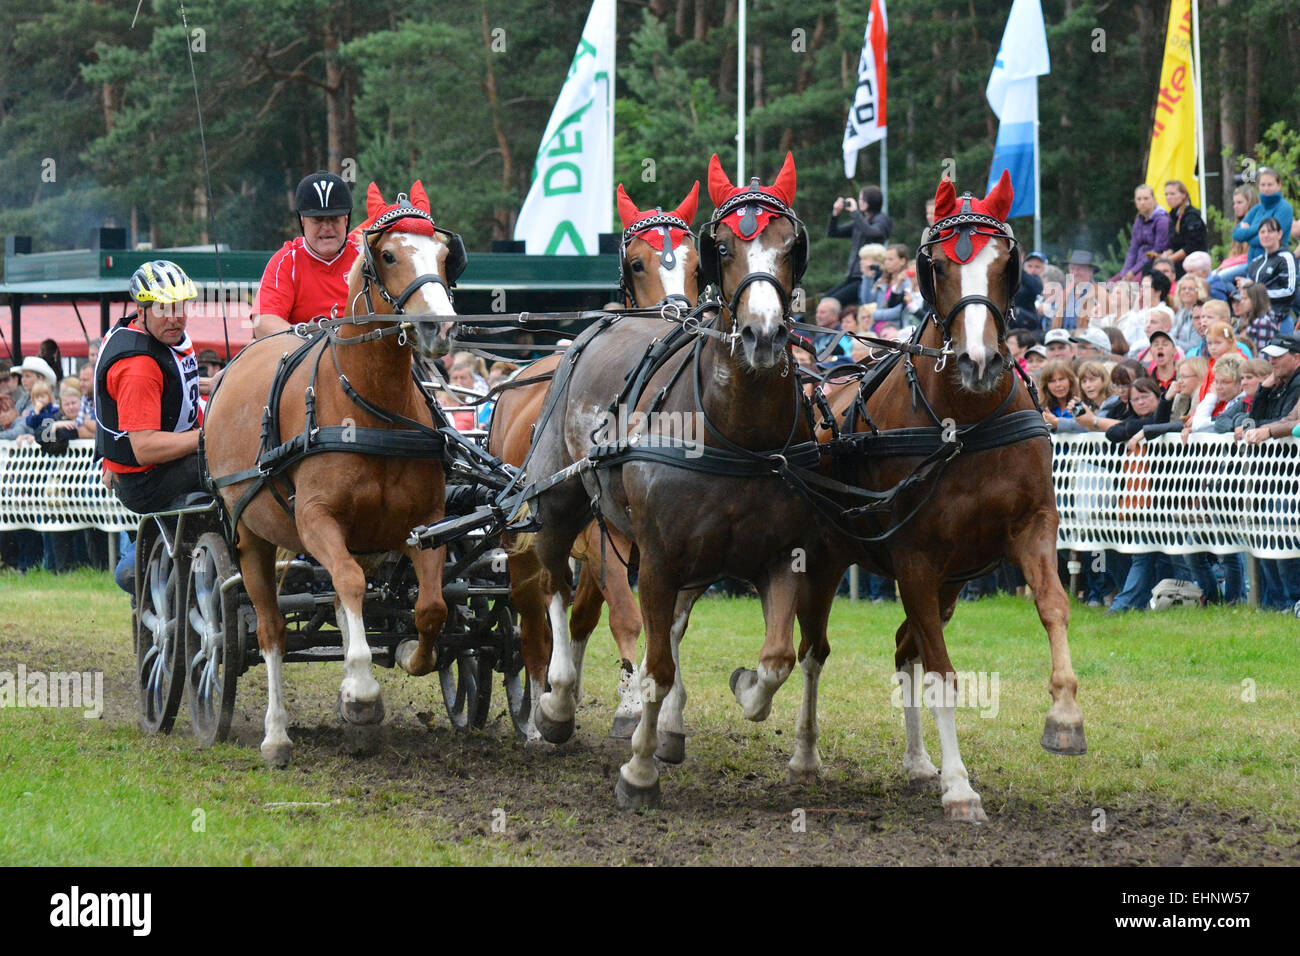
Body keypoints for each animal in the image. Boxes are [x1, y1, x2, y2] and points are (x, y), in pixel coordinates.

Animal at [203, 181, 461, 765]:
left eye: (443, 255)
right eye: (388, 256)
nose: (438, 327)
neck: (370, 409)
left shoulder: (425, 524)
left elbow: (430, 608)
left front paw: (404, 656)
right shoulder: (316, 521)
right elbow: (346, 583)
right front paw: (361, 690)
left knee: (348, 605)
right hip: (251, 538)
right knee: (272, 630)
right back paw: (276, 735)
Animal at [487, 182, 701, 741]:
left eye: (698, 263)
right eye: (638, 263)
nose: (680, 318)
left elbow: (634, 617)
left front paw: (637, 698)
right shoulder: (603, 537)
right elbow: (623, 614)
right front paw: (608, 704)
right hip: (526, 536)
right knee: (532, 607)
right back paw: (537, 703)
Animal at [509, 152, 822, 807]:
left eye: (790, 244)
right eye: (724, 246)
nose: (762, 335)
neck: (737, 433)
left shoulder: (781, 554)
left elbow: (776, 659)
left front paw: (740, 688)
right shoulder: (651, 557)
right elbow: (652, 663)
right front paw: (638, 769)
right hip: (557, 502)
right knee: (554, 587)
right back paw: (556, 701)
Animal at [785, 171, 1085, 822]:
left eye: (1004, 265)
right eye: (939, 266)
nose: (979, 361)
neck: (964, 422)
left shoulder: (1032, 526)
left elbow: (1052, 607)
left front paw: (1065, 716)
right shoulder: (915, 560)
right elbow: (945, 674)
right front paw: (960, 787)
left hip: (950, 582)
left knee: (905, 650)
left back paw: (919, 761)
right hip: (824, 563)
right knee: (814, 651)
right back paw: (806, 754)